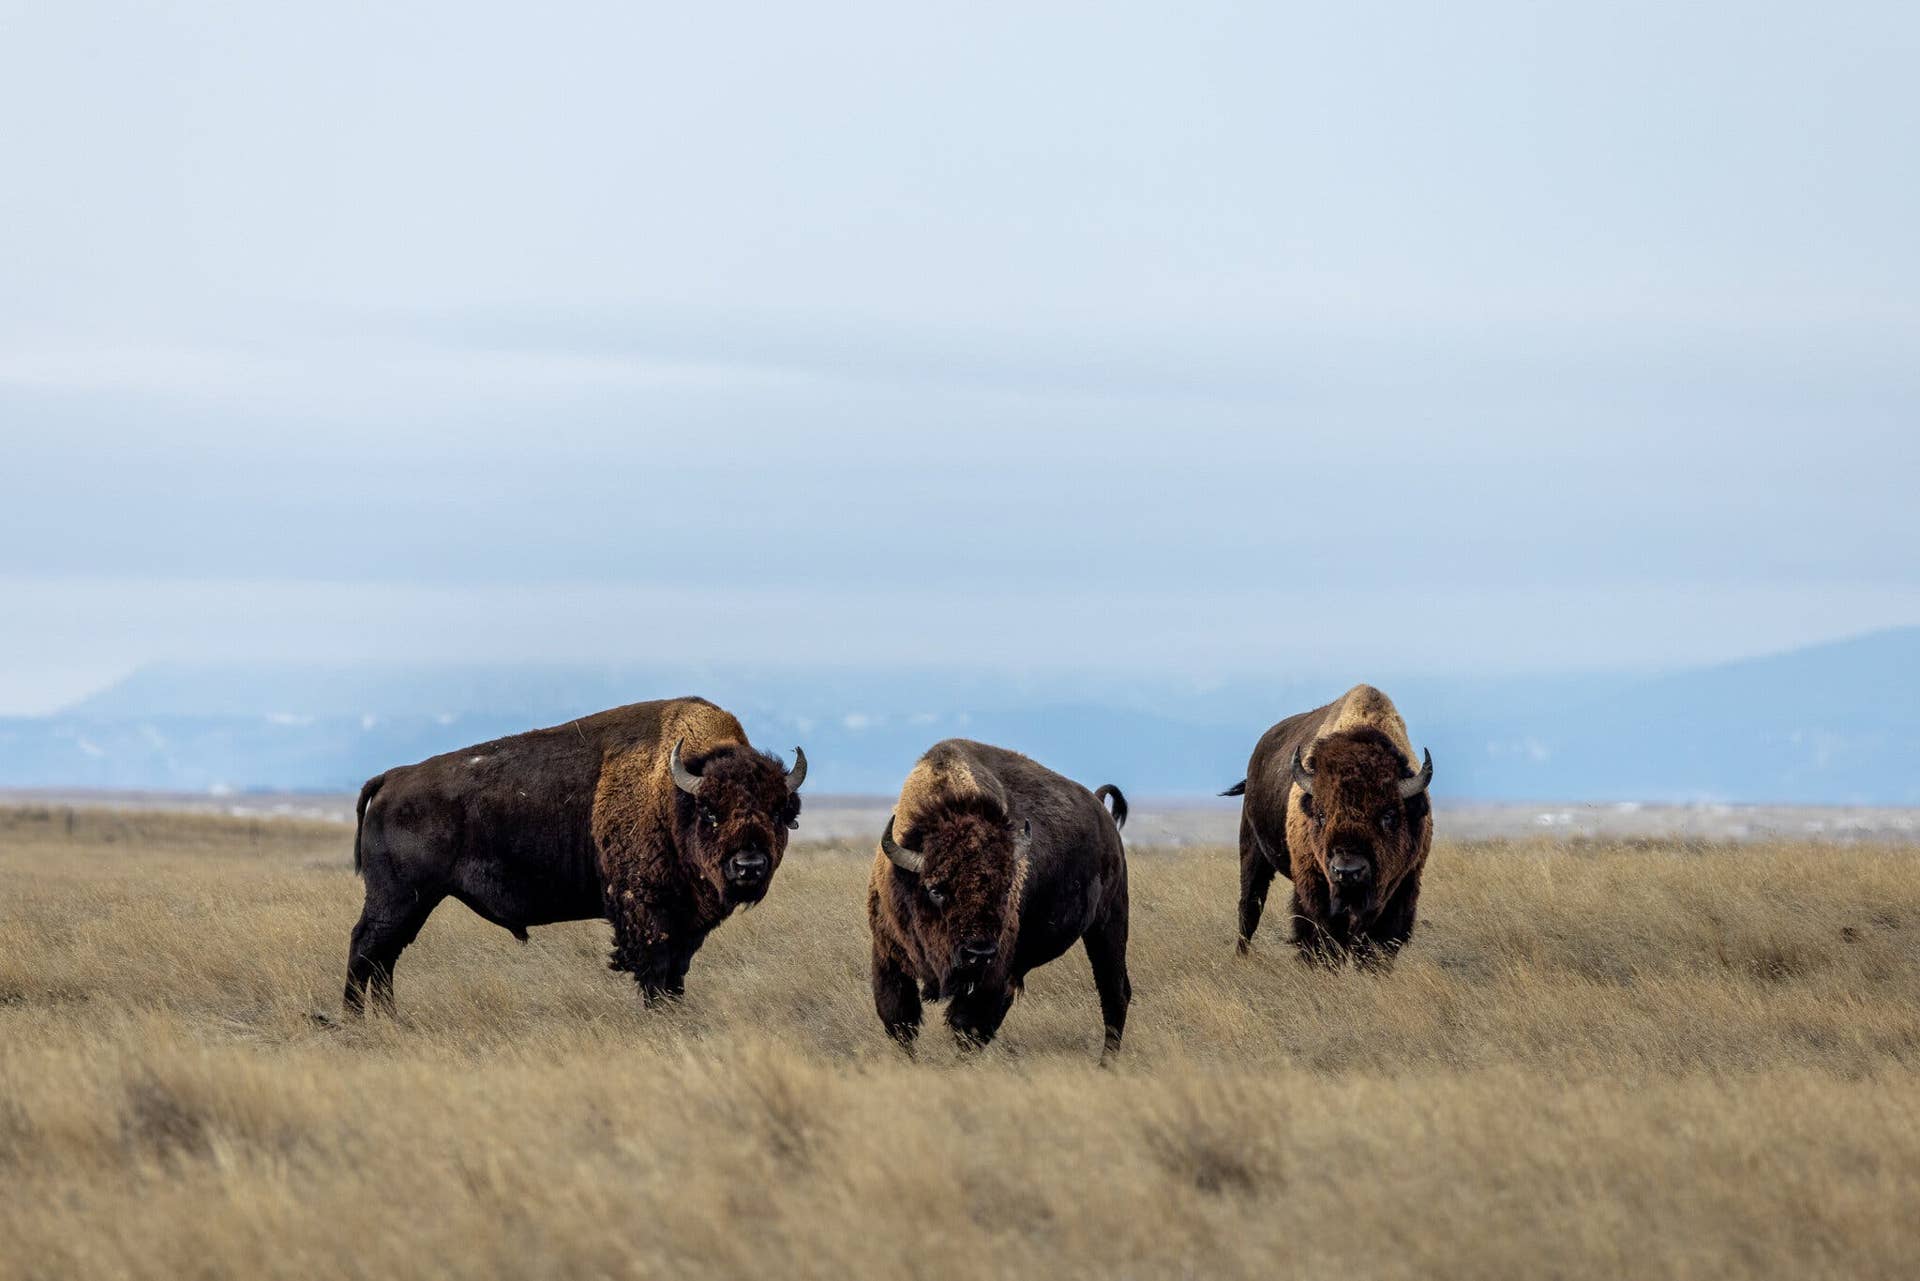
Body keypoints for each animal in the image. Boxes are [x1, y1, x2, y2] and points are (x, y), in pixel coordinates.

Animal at [344, 697, 805, 1013]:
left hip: (415, 903)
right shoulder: (649, 916)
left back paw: (389, 1018)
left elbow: (677, 973)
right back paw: (354, 1018)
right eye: (710, 811)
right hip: (397, 899)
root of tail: (391, 778)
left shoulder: (687, 925)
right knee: (366, 948)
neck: (673, 798)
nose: (749, 866)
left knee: (385, 958)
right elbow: (657, 972)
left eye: (777, 811)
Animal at [867, 740, 1131, 1058]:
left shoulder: (992, 978)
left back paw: (1106, 1063)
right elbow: (900, 1021)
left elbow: (968, 1029)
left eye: (1006, 888)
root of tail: (1100, 807)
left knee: (1114, 993)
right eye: (935, 890)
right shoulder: (888, 956)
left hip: (1109, 923)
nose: (977, 954)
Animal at [1223, 684, 1433, 968]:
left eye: (1388, 815)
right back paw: (1241, 955)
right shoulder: (1314, 884)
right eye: (1321, 815)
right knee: (1250, 905)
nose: (1347, 871)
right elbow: (1321, 933)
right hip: (1252, 850)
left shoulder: (1403, 885)